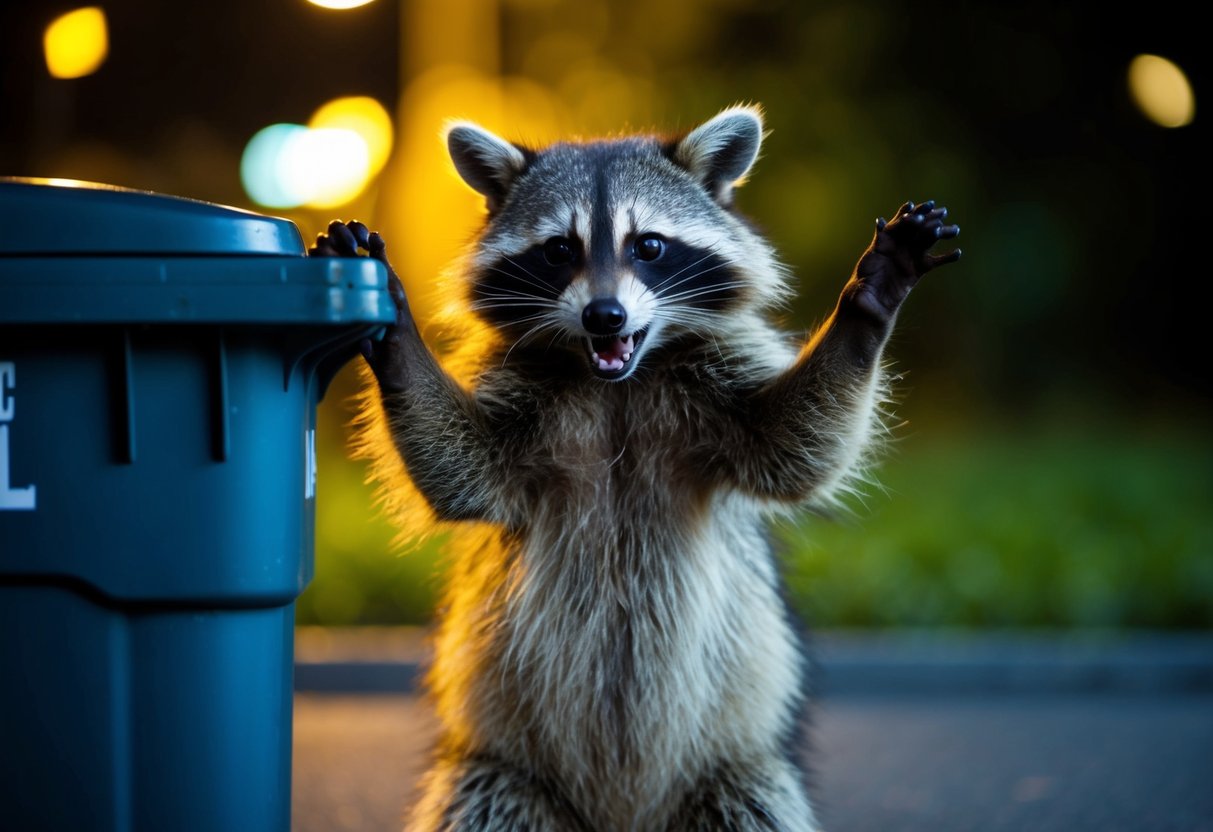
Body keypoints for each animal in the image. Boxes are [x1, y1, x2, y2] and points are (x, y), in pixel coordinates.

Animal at [310, 105, 960, 832]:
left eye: (648, 246)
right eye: (558, 250)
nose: (605, 315)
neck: (617, 383)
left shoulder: (718, 381)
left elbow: (793, 448)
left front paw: (866, 307)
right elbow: (459, 469)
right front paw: (393, 336)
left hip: (738, 775)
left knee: (755, 803)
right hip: (498, 776)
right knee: (484, 802)